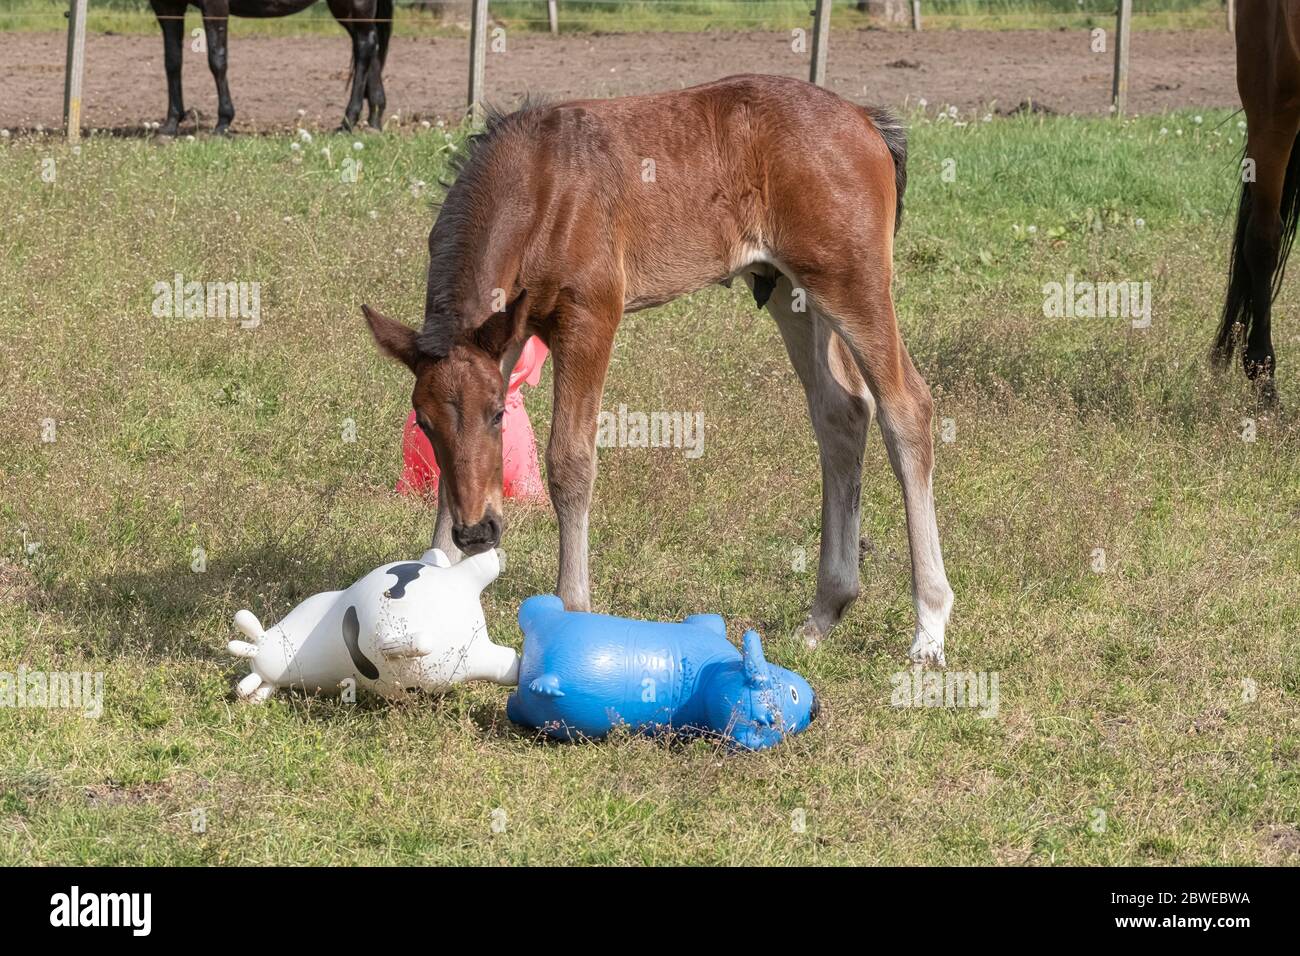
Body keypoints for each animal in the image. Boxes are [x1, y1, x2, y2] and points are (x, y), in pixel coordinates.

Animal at [147, 0, 393, 134]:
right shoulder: (166, 5)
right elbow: (172, 61)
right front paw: (170, 124)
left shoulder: (215, 5)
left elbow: (217, 60)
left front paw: (223, 122)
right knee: (368, 46)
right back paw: (374, 120)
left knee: (364, 46)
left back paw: (348, 122)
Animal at [363, 74, 955, 665]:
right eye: (423, 424)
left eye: (495, 415)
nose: (478, 533)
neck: (539, 181)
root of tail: (865, 119)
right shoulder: (507, 333)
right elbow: (452, 475)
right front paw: (437, 582)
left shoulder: (590, 316)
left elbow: (570, 461)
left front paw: (573, 607)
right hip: (794, 292)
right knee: (843, 413)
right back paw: (825, 611)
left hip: (852, 282)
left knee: (906, 408)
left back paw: (928, 627)